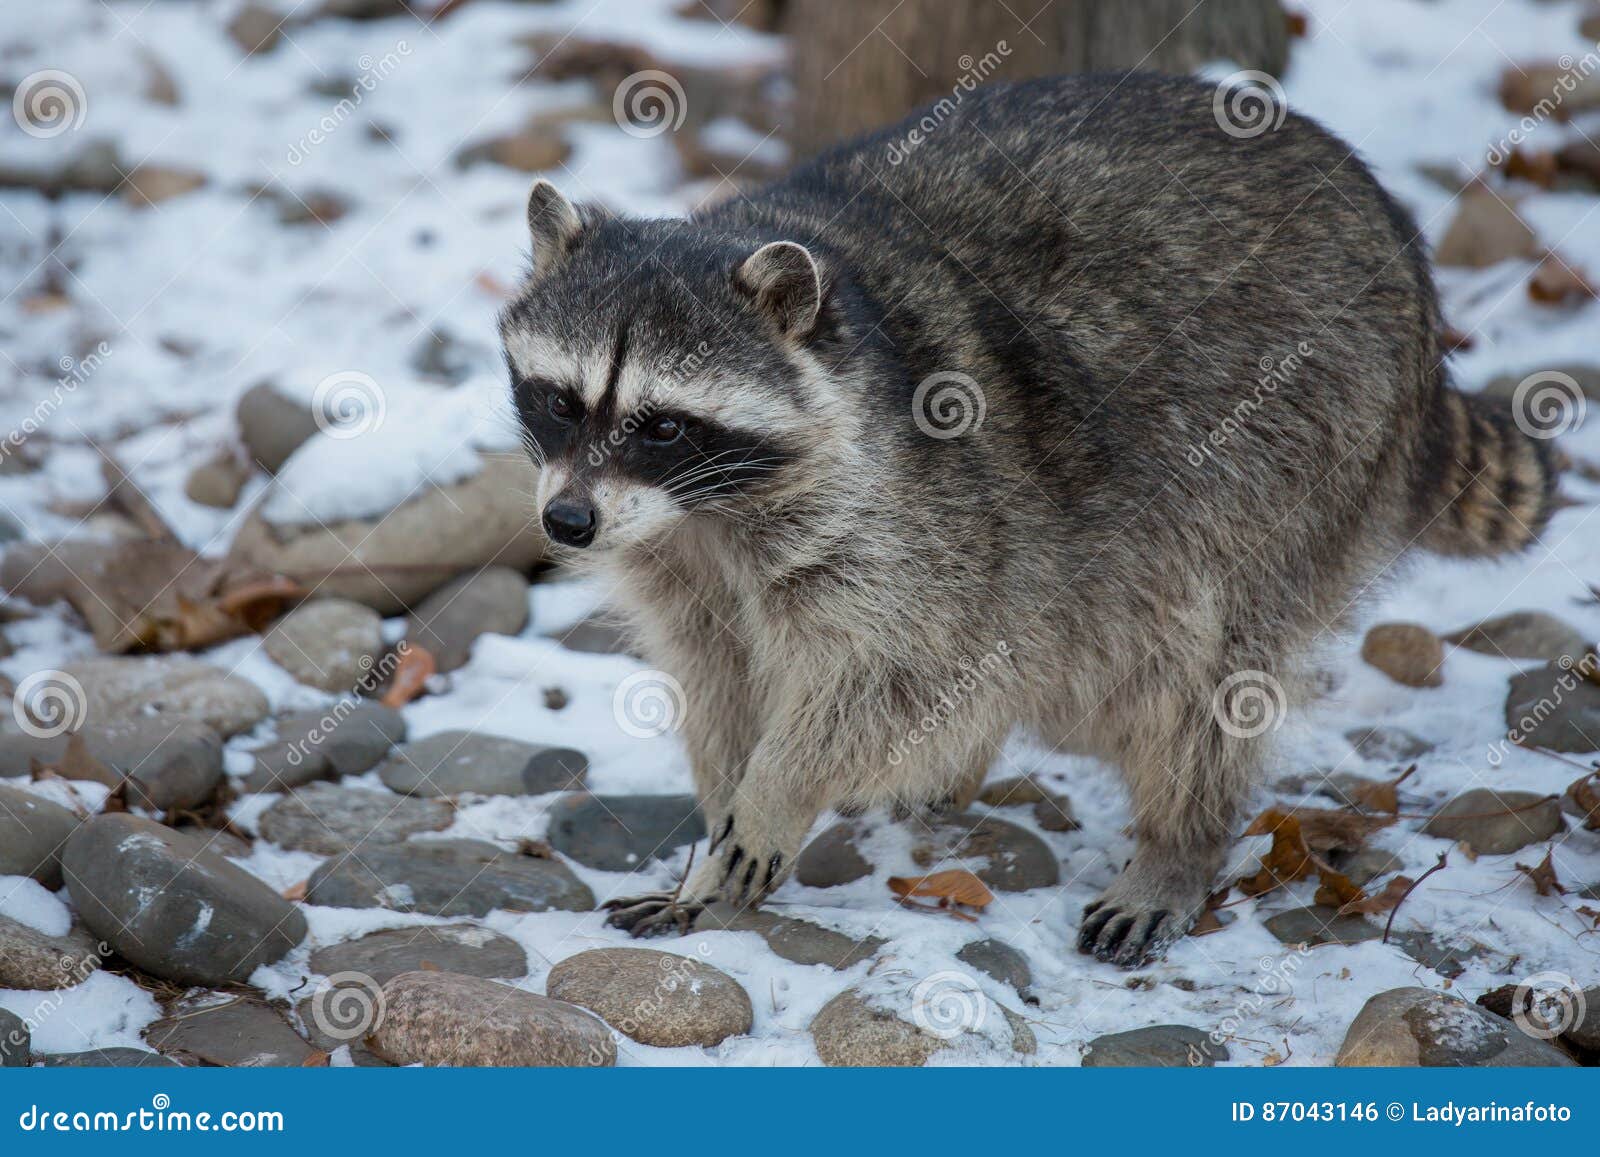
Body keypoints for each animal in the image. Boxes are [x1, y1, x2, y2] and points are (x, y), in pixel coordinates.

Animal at [499, 72, 1557, 965]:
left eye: (662, 425)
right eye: (560, 402)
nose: (568, 523)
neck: (707, 509)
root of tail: (1387, 223)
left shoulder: (911, 517)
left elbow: (881, 676)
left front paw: (771, 799)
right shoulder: (679, 560)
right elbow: (719, 674)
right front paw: (721, 814)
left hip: (1309, 438)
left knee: (1208, 669)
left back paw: (1177, 843)